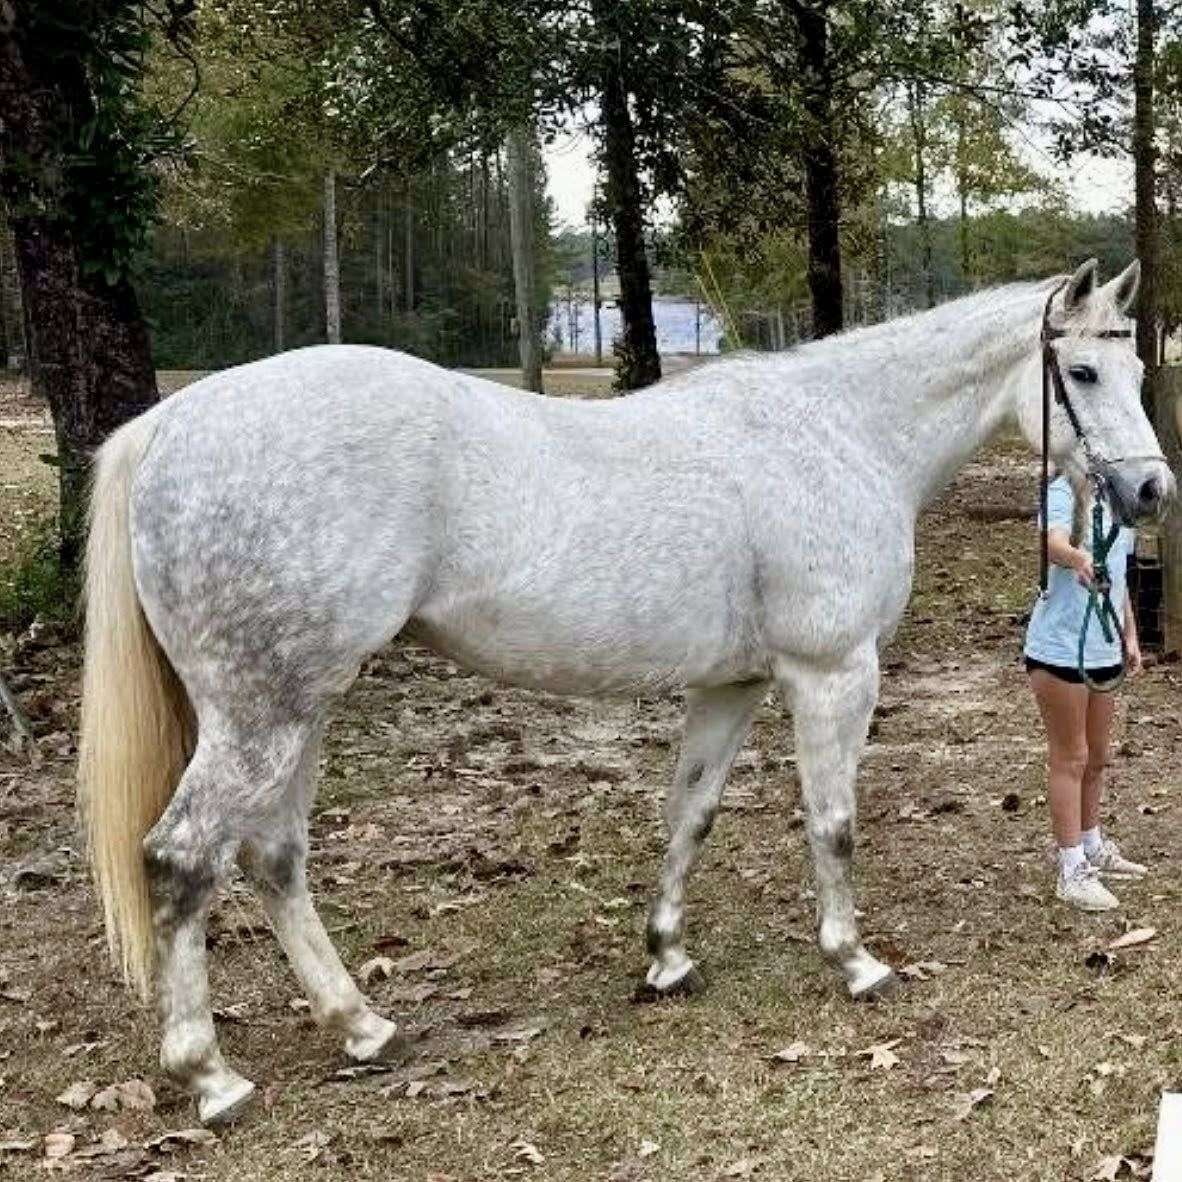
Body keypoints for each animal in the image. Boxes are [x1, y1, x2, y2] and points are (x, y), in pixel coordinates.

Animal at [78, 258, 1172, 1125]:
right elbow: (833, 825)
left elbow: (688, 815)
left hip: (299, 710)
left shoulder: (731, 685)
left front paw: (666, 957)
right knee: (182, 860)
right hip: (260, 716)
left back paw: (361, 1024)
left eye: (1135, 369)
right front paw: (854, 962)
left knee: (273, 859)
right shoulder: (833, 673)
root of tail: (172, 424)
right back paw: (212, 1077)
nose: (1152, 491)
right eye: (1081, 372)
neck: (842, 433)